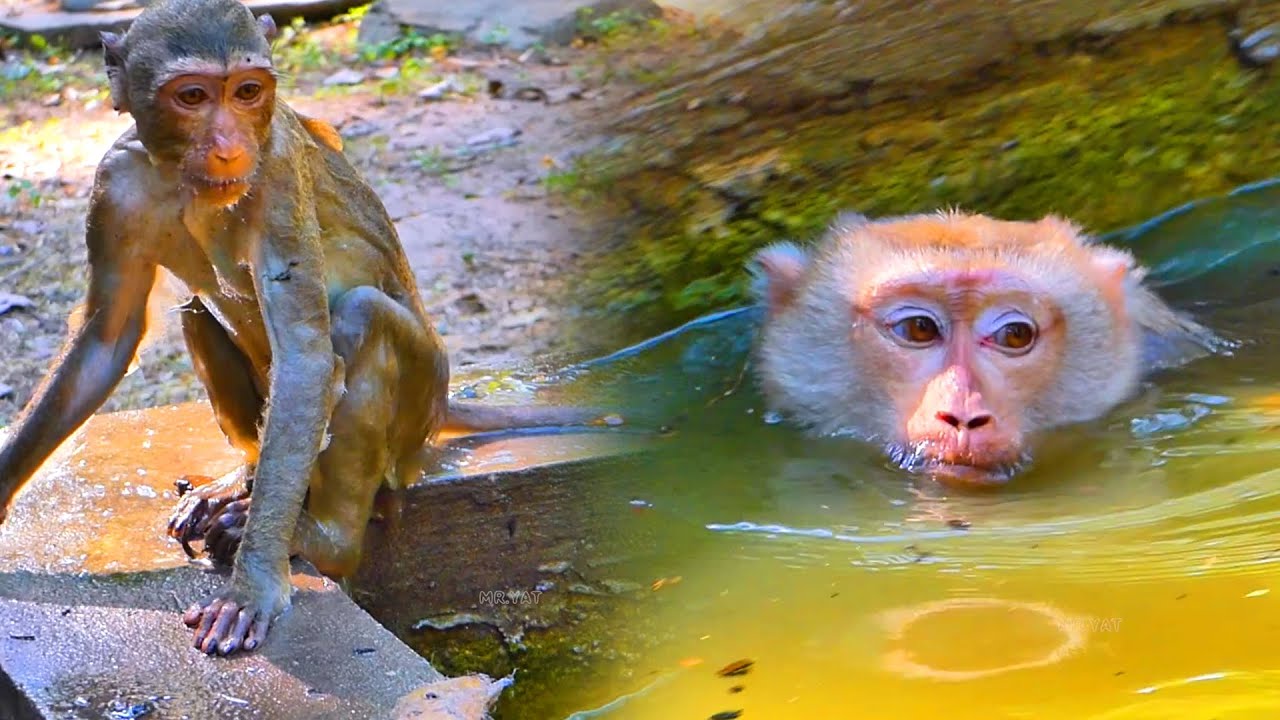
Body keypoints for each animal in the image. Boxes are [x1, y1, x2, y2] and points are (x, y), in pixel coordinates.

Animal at [0, 0, 611, 658]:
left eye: (247, 91)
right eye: (192, 96)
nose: (227, 146)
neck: (183, 180)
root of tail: (443, 403)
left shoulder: (274, 176)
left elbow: (306, 358)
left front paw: (254, 583)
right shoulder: (114, 183)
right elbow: (104, 339)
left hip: (417, 411)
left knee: (362, 316)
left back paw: (321, 539)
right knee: (197, 309)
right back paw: (242, 481)